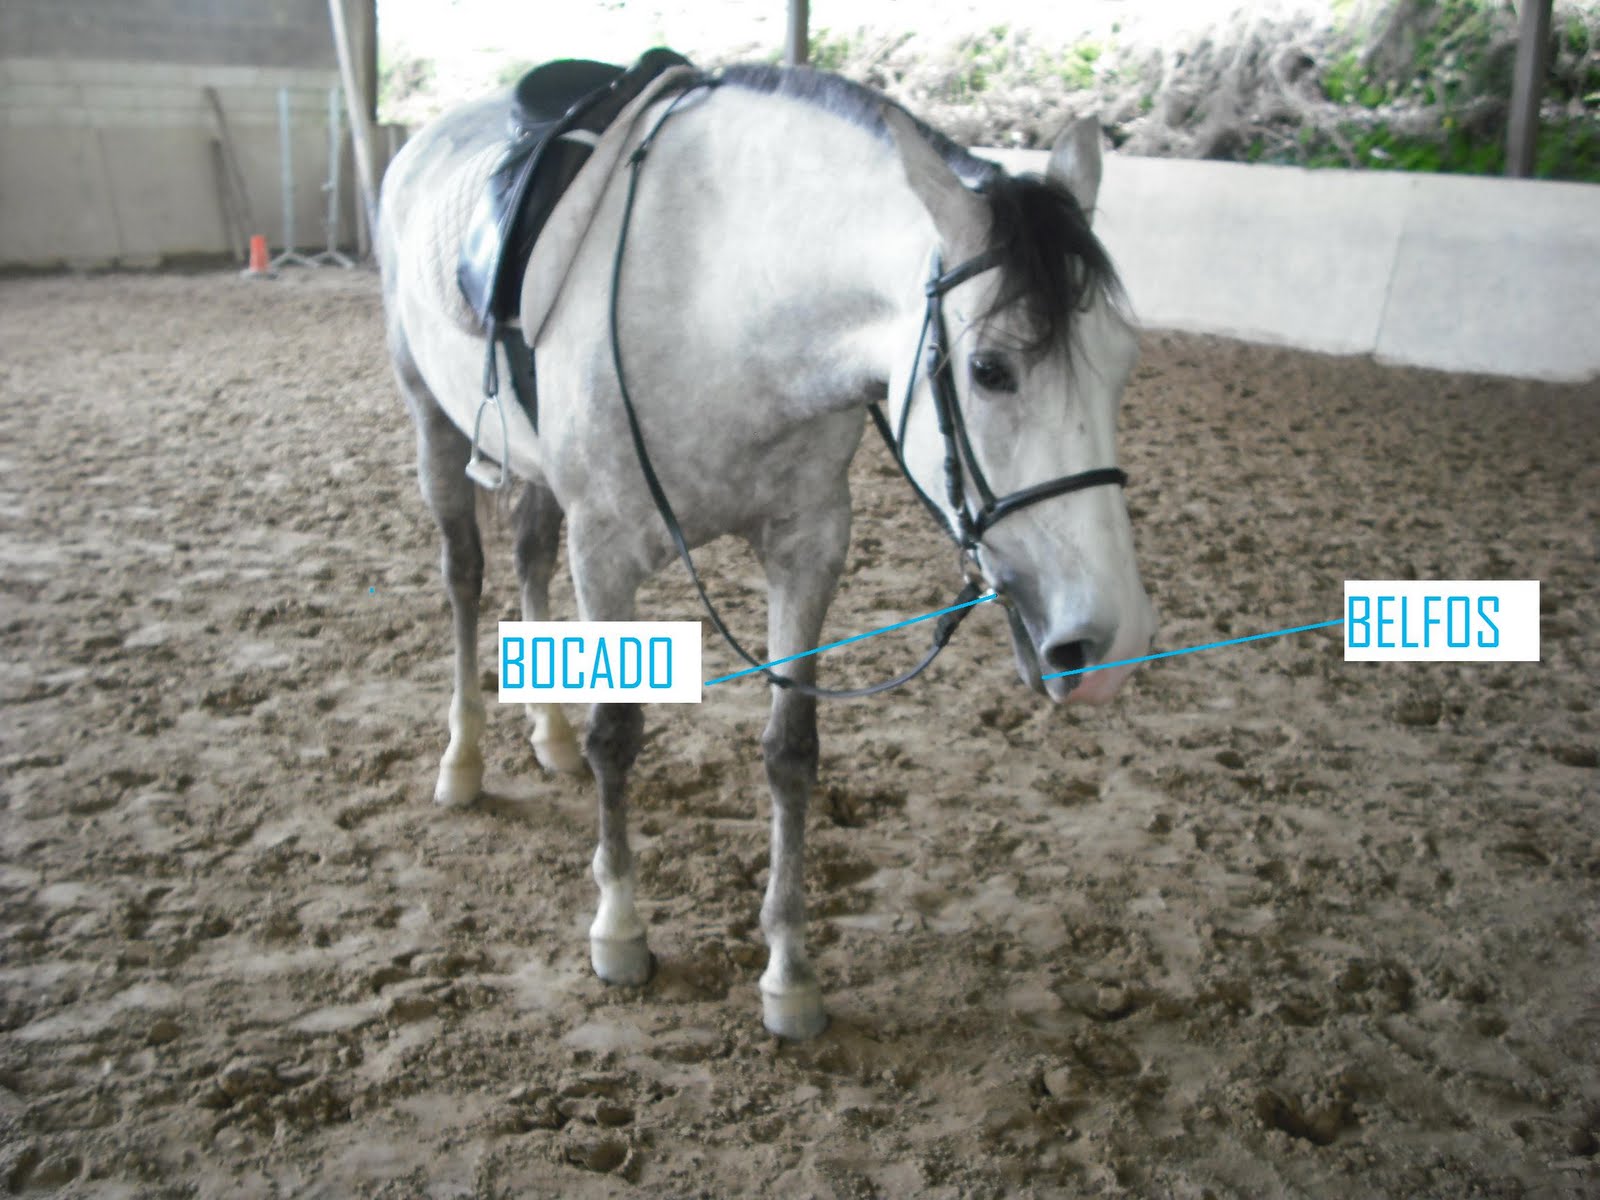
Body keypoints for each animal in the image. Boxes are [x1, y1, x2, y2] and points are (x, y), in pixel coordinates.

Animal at [376, 60, 1156, 1040]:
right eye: (989, 371)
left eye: (1123, 364)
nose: (1112, 644)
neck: (723, 297)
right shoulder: (609, 551)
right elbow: (618, 733)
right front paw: (619, 929)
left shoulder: (807, 546)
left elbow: (792, 750)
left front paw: (789, 972)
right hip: (432, 420)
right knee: (467, 578)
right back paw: (465, 761)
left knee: (526, 558)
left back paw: (545, 733)